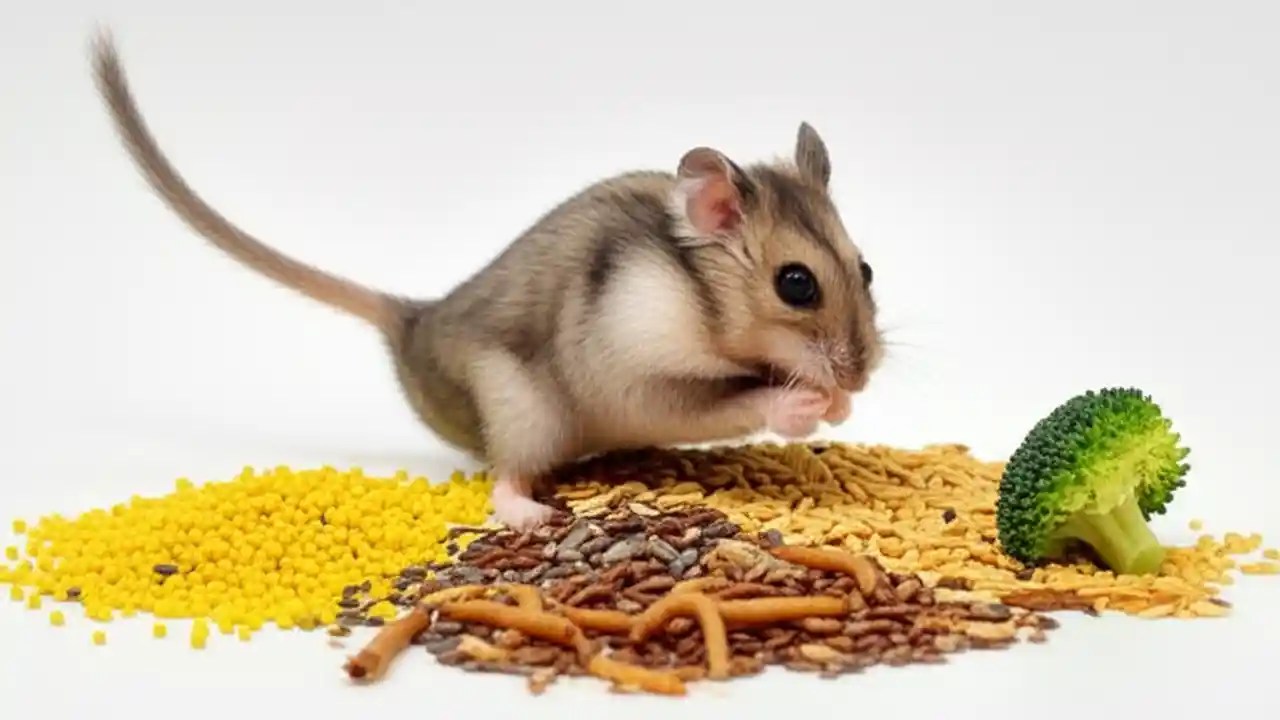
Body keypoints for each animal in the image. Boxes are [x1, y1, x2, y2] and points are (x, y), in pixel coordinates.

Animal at [89, 33, 883, 530]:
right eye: (796, 284)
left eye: (867, 268)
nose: (862, 378)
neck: (696, 292)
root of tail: (412, 321)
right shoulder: (638, 372)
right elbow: (732, 400)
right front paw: (807, 401)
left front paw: (839, 405)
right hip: (524, 408)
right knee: (506, 472)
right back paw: (530, 513)